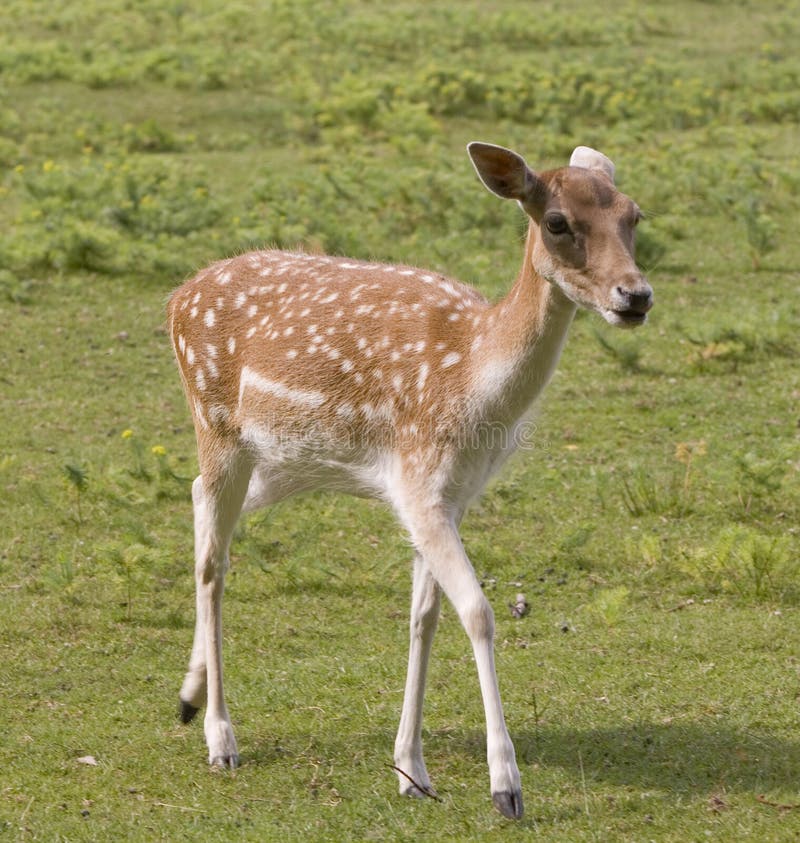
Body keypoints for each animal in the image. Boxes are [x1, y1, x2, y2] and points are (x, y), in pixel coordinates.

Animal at [167, 142, 653, 820]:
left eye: (634, 214)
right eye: (557, 221)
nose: (635, 295)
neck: (472, 382)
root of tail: (176, 297)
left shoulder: (450, 496)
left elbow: (425, 617)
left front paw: (411, 770)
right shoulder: (420, 483)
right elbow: (477, 611)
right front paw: (505, 786)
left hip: (284, 460)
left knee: (202, 506)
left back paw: (188, 697)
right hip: (215, 422)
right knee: (213, 560)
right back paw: (221, 738)